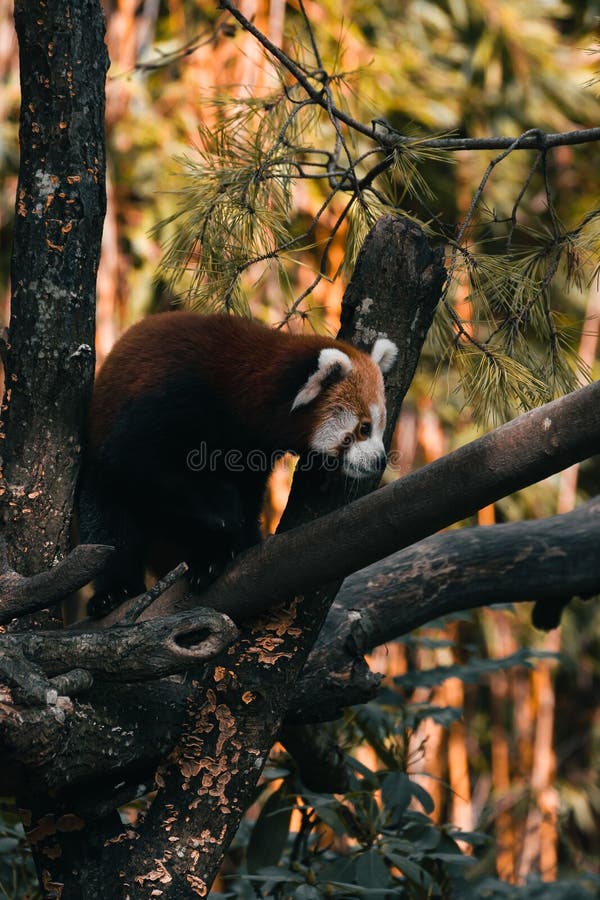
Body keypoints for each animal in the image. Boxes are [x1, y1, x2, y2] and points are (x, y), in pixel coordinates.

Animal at [77, 311, 397, 615]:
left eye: (379, 426)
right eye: (364, 428)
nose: (379, 460)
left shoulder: (252, 453)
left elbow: (249, 493)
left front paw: (242, 540)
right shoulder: (176, 398)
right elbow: (133, 458)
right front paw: (223, 513)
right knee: (111, 527)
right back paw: (115, 592)